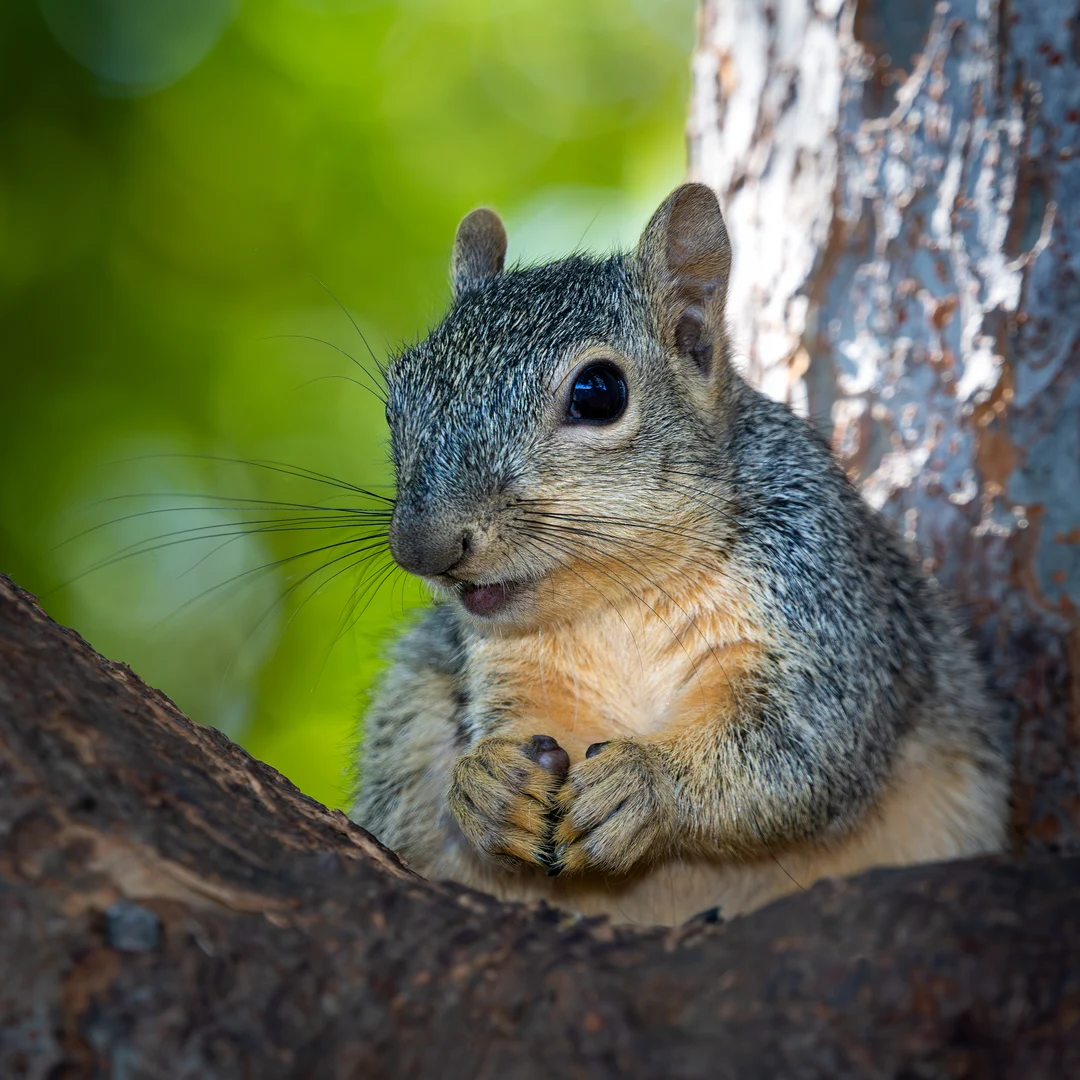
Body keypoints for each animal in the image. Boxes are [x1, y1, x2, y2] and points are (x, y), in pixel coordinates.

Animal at [353, 183, 1009, 926]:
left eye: (598, 392)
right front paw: (484, 786)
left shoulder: (828, 606)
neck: (621, 597)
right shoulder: (511, 671)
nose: (422, 547)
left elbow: (805, 750)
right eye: (397, 402)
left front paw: (644, 786)